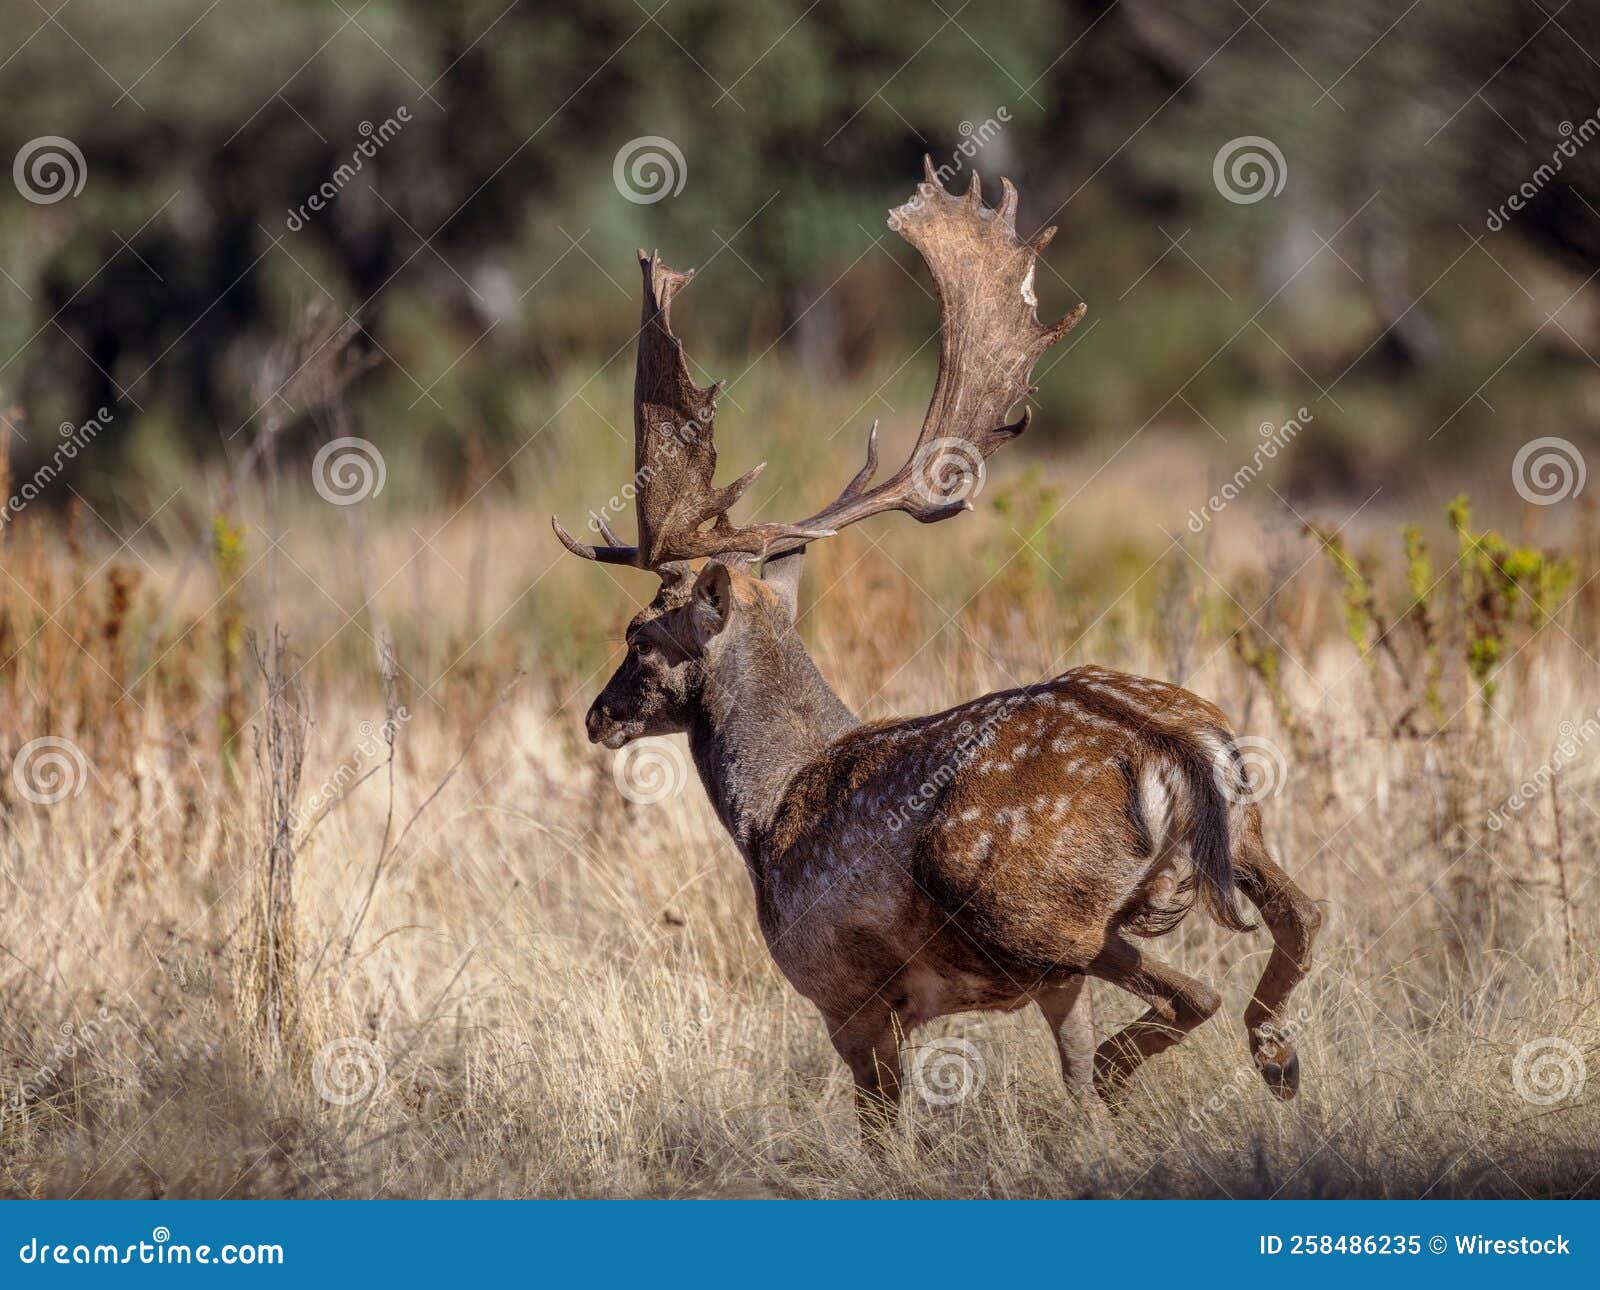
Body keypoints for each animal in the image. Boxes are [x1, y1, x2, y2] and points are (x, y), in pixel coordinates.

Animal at [554, 160, 1322, 1133]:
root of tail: (1173, 744)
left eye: (640, 632)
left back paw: (1217, 1062)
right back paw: (1273, 1058)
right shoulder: (1017, 993)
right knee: (1300, 915)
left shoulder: (844, 994)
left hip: (1017, 899)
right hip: (1235, 831)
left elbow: (889, 1131)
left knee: (1191, 986)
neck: (768, 808)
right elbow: (1069, 1067)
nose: (597, 715)